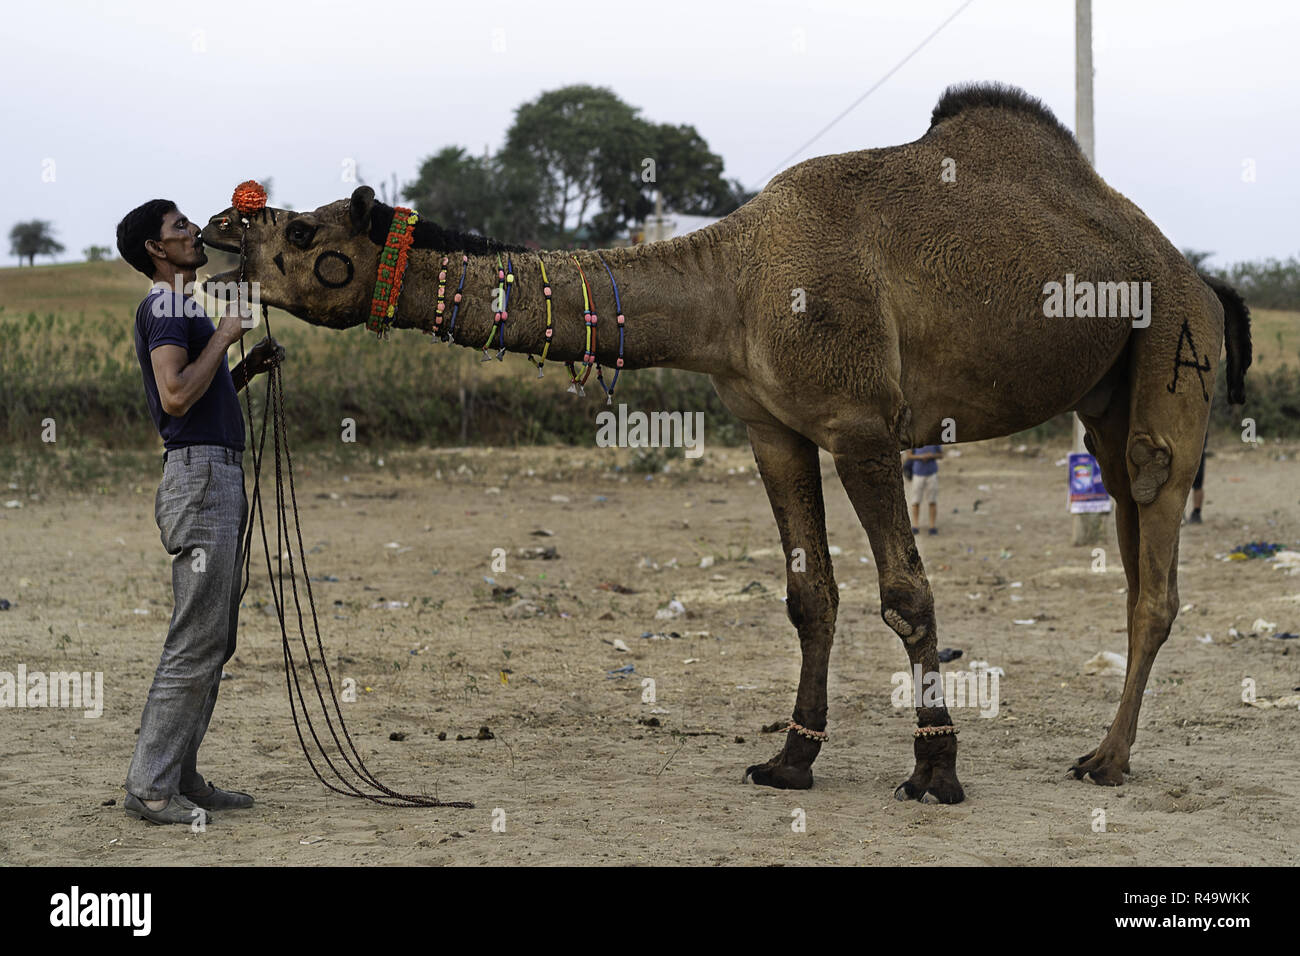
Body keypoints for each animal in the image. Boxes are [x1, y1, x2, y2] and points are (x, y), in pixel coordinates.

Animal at [201, 82, 1250, 803]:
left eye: (303, 230)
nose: (217, 232)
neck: (736, 282)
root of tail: (1202, 279)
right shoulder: (770, 426)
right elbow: (809, 598)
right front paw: (789, 759)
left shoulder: (862, 423)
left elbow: (906, 596)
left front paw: (936, 770)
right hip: (1104, 395)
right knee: (1127, 528)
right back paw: (1105, 747)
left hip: (1170, 346)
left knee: (1153, 539)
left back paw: (1108, 760)